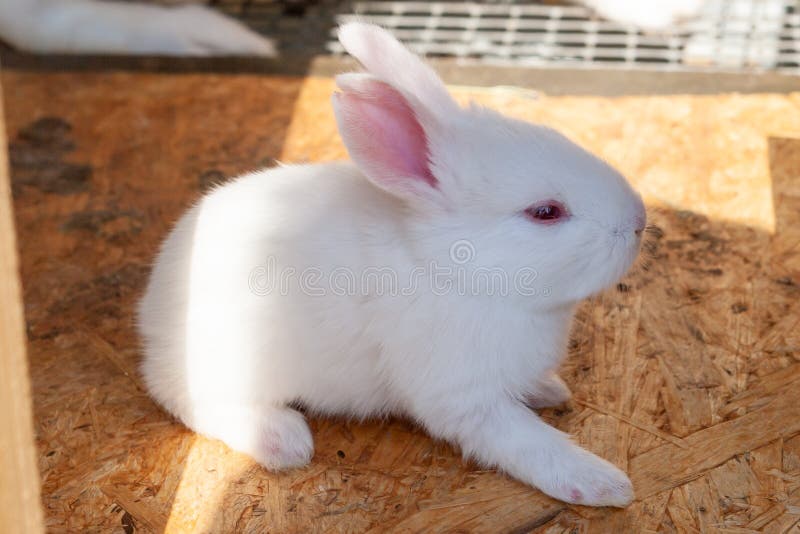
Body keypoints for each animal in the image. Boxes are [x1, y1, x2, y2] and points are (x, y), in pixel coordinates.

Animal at [137, 22, 646, 507]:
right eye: (545, 212)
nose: (639, 220)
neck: (449, 269)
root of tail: (152, 310)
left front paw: (548, 390)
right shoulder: (462, 397)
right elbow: (531, 445)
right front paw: (605, 485)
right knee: (181, 395)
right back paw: (283, 440)